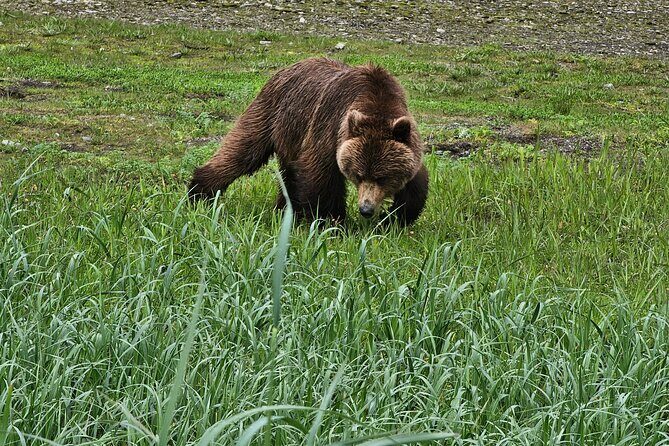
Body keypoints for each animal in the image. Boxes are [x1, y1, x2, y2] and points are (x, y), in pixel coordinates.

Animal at [188, 57, 429, 226]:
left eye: (382, 177)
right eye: (359, 175)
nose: (366, 209)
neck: (376, 99)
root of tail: (286, 68)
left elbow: (415, 185)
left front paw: (395, 218)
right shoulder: (330, 129)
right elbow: (320, 176)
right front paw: (332, 222)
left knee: (288, 174)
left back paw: (284, 209)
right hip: (272, 113)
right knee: (243, 150)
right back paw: (199, 191)